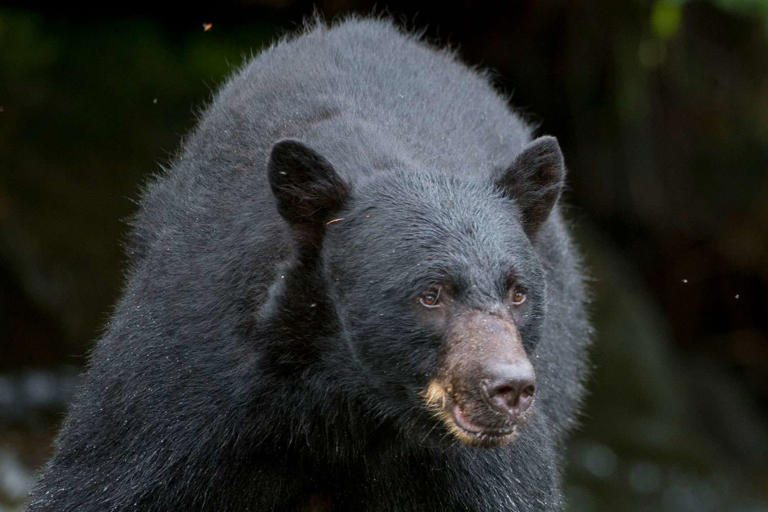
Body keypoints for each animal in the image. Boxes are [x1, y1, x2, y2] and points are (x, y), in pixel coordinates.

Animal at [27, 17, 591, 512]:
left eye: (518, 292)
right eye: (430, 293)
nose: (509, 389)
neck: (350, 401)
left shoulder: (476, 466)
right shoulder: (192, 373)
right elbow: (108, 471)